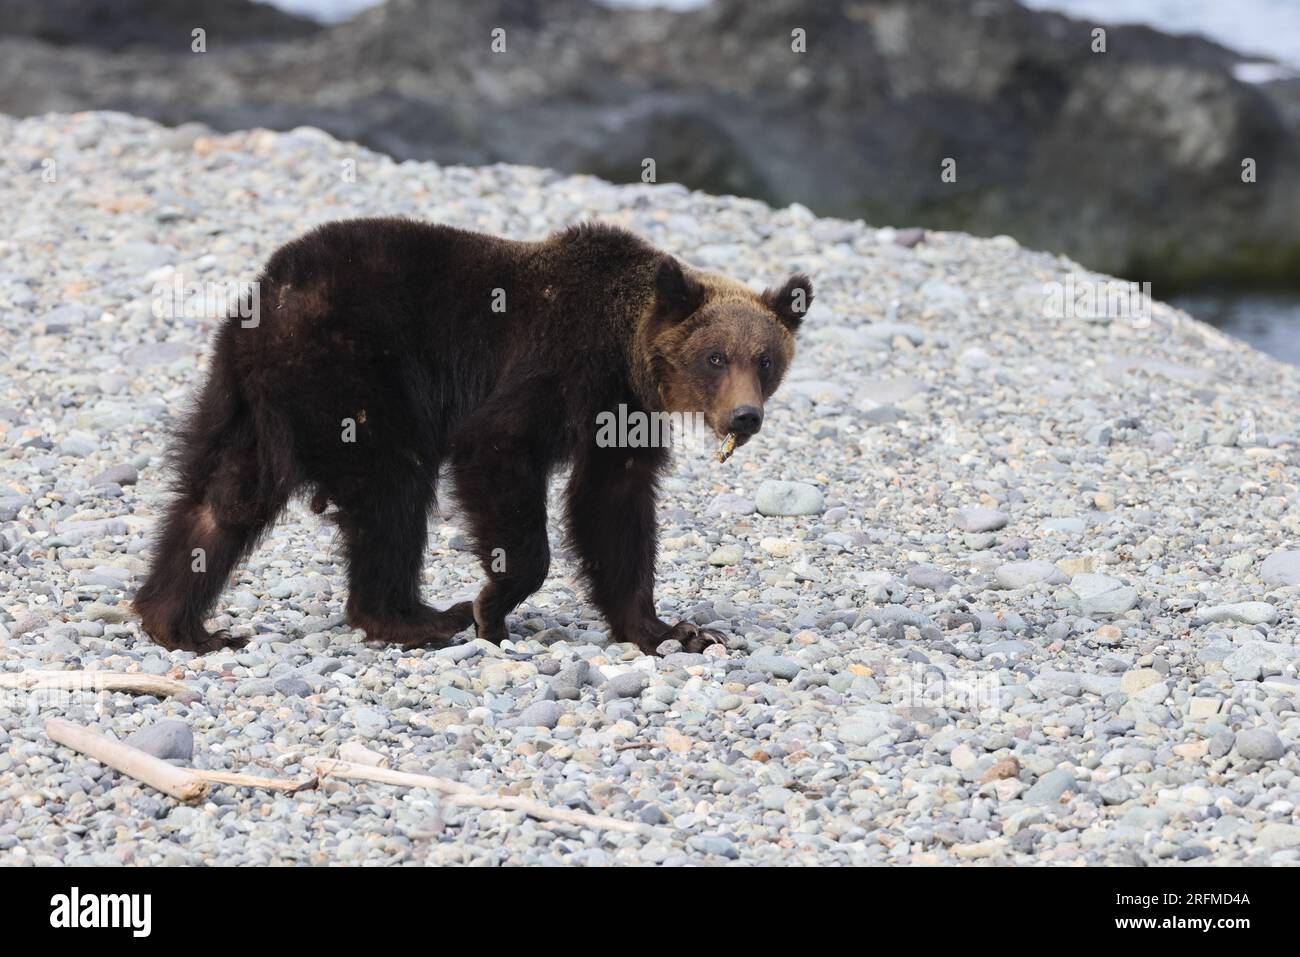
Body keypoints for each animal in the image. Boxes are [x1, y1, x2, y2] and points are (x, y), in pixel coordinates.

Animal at [133, 218, 811, 656]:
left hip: (247, 398)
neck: (626, 354)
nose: (743, 417)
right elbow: (496, 447)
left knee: (220, 499)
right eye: (716, 357)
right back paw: (419, 618)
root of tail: (268, 291)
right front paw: (493, 603)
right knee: (392, 488)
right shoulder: (558, 363)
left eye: (766, 360)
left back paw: (180, 623)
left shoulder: (621, 416)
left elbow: (614, 508)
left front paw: (673, 630)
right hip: (353, 372)